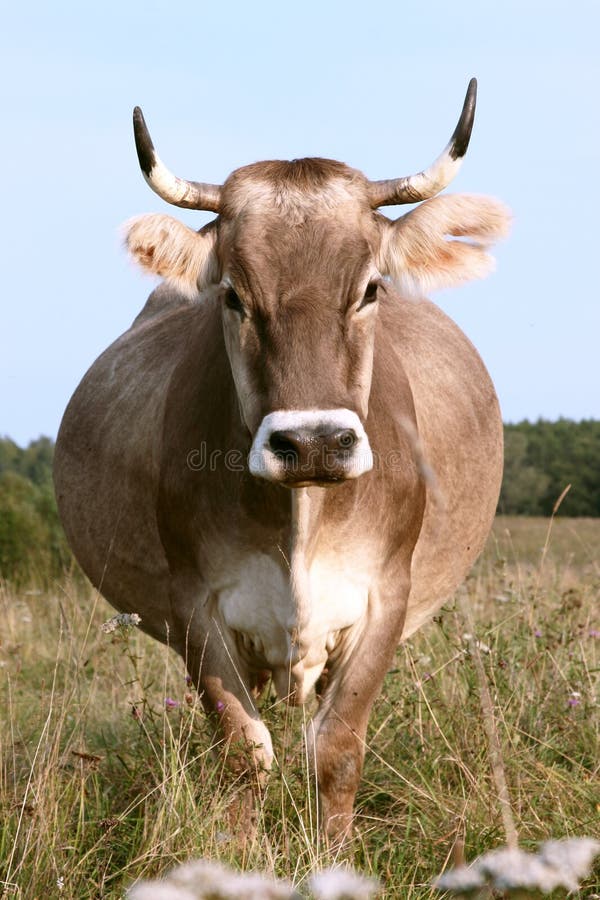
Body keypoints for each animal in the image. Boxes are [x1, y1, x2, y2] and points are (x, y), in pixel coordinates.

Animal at [54, 79, 510, 843]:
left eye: (371, 289)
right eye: (234, 294)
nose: (314, 443)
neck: (300, 515)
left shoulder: (385, 595)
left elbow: (336, 746)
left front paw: (333, 852)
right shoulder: (196, 605)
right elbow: (244, 752)